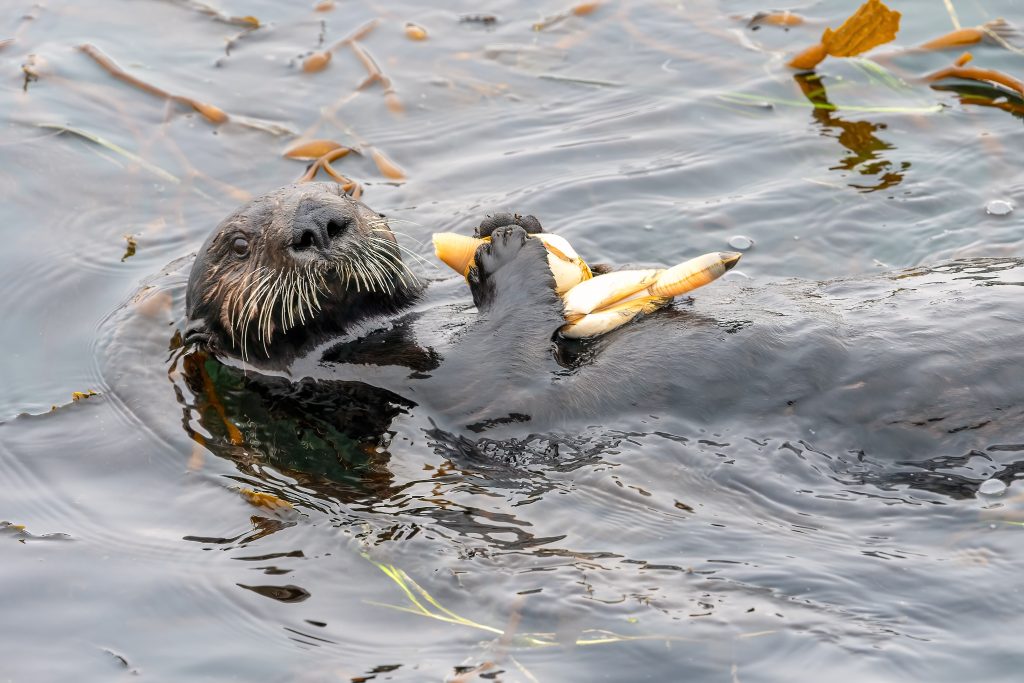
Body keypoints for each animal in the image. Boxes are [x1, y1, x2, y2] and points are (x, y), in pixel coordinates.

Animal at [184, 182, 1024, 462]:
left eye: (348, 191)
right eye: (237, 243)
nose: (320, 223)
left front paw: (510, 223)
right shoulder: (452, 397)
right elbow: (497, 375)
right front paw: (510, 252)